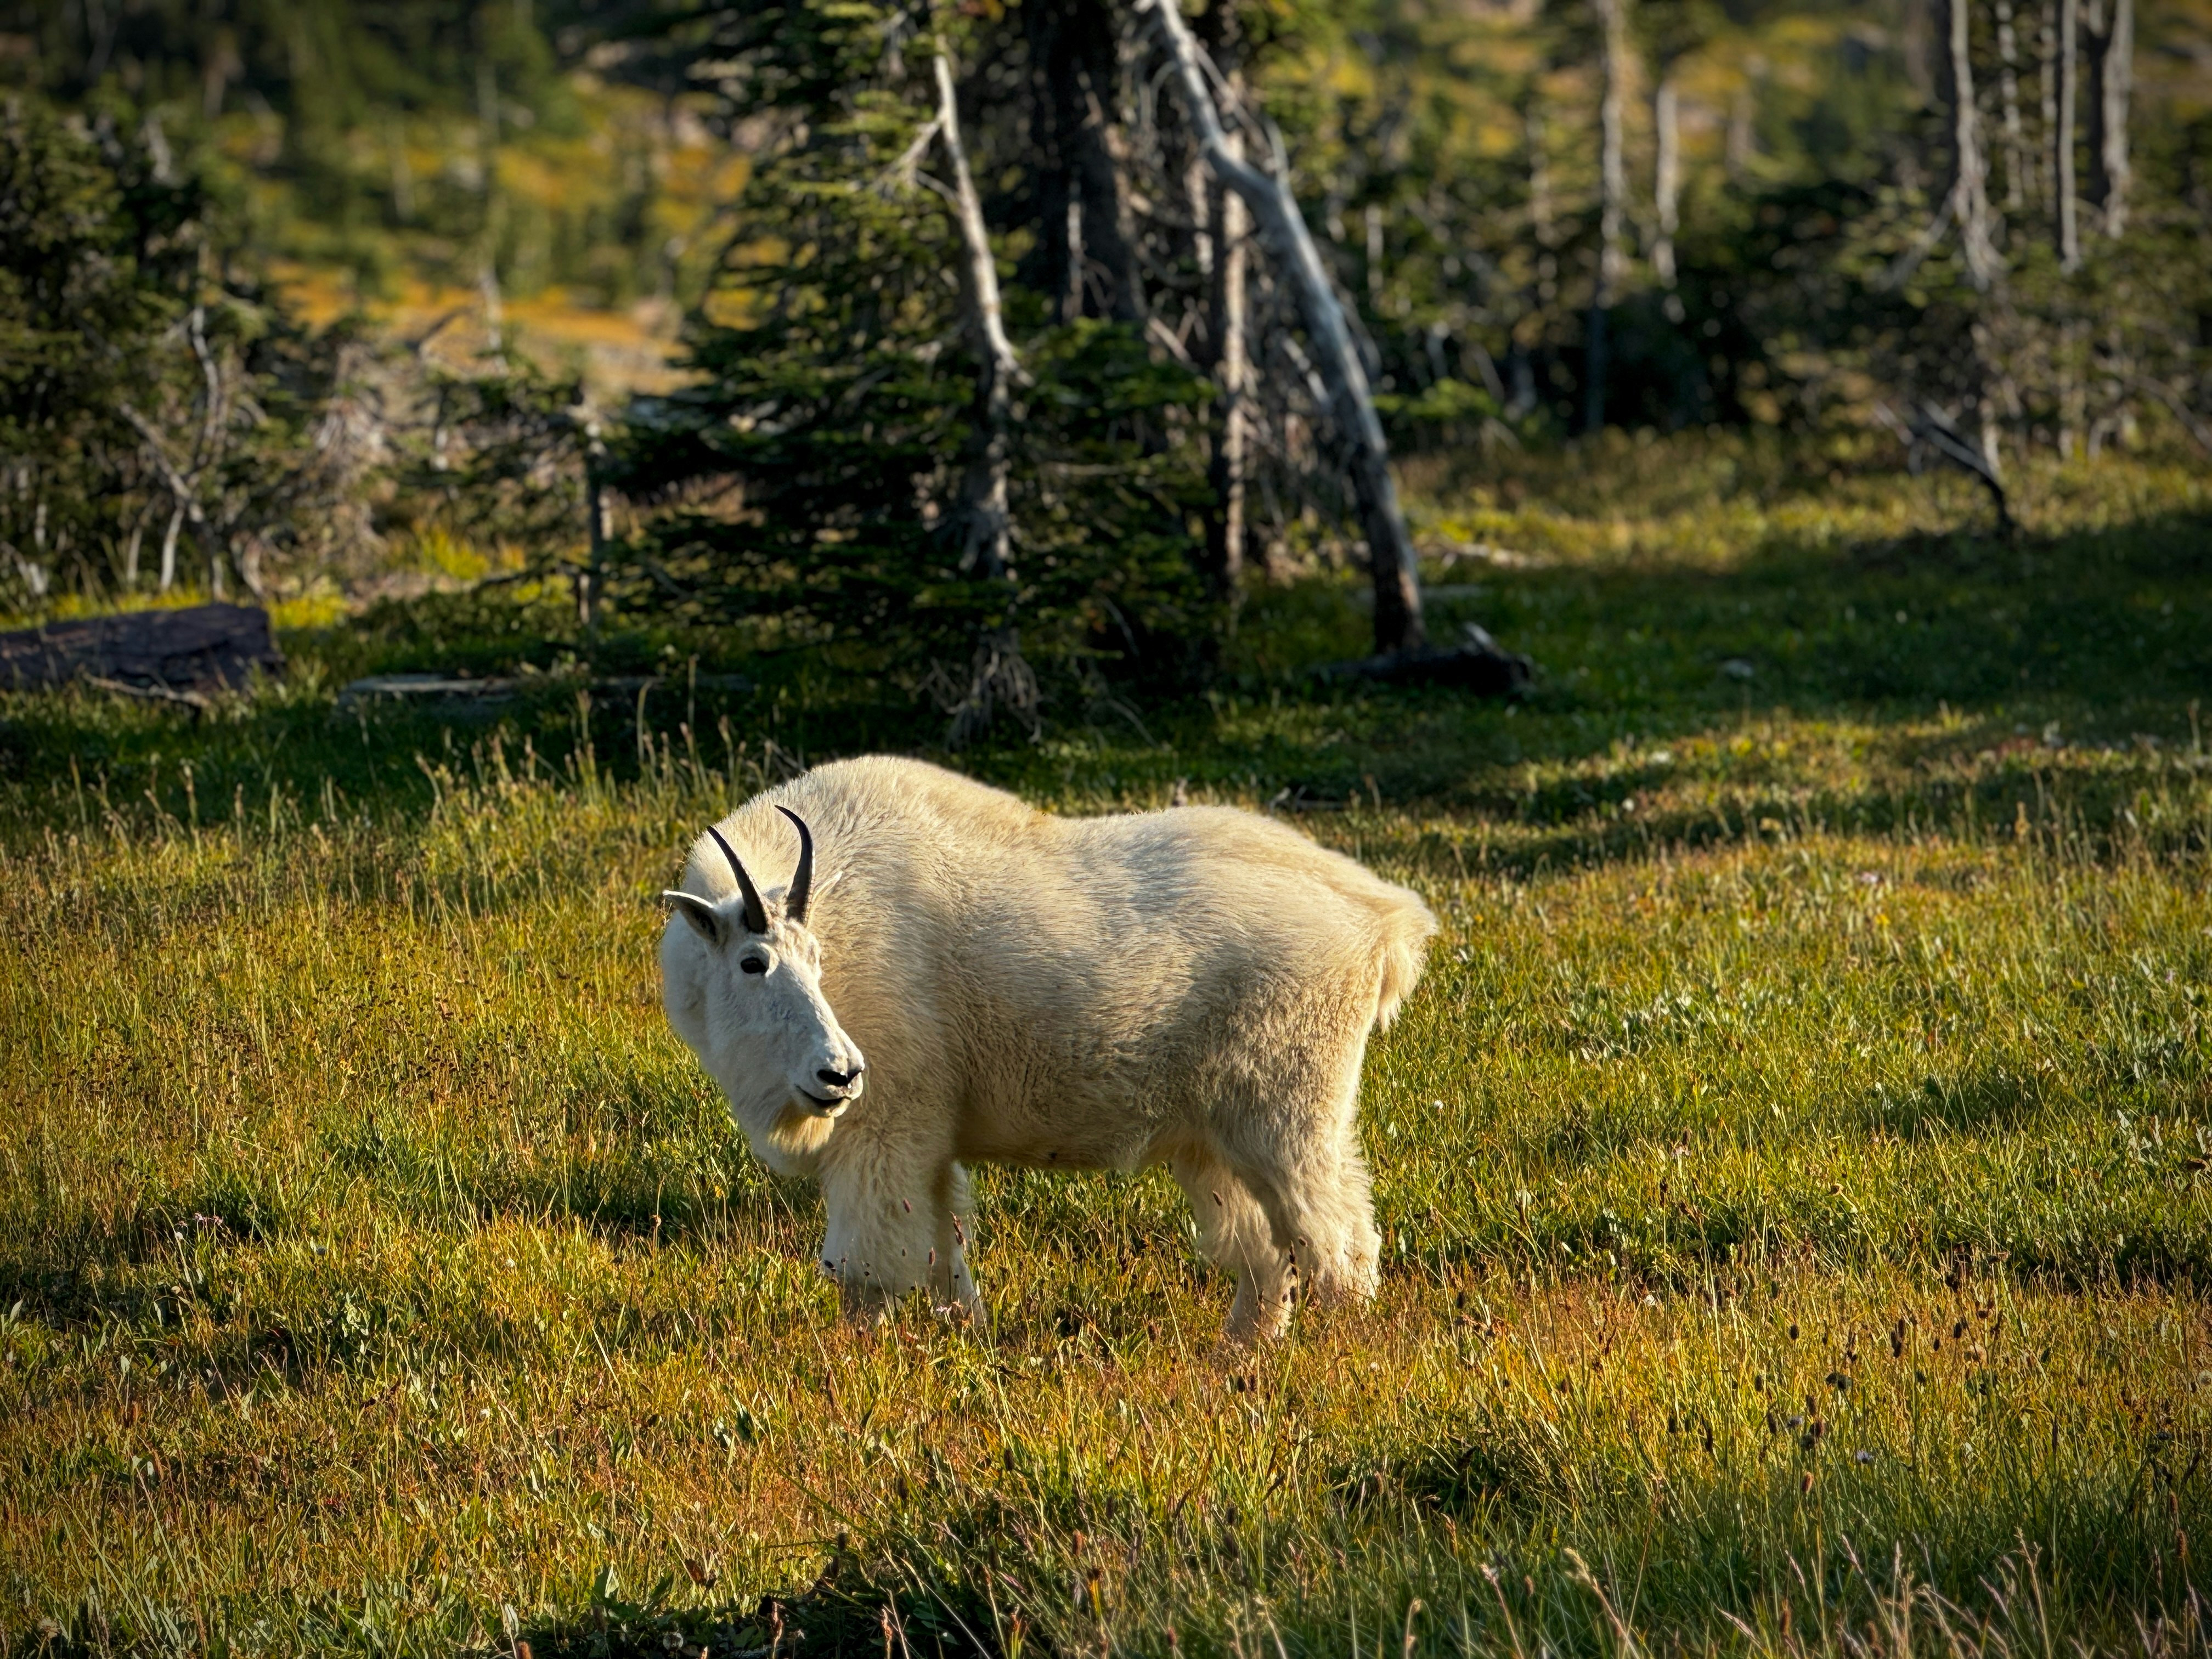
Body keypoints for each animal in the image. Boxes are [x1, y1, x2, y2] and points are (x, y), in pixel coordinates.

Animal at [658, 756, 1435, 1342]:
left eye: (816, 957)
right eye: (753, 962)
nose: (840, 1074)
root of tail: (1386, 920)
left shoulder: (884, 1130)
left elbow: (868, 1270)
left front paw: (854, 1360)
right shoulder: (929, 1142)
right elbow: (946, 1255)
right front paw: (968, 1338)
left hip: (1292, 1113)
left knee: (1339, 1245)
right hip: (1218, 1137)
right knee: (1266, 1255)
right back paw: (1237, 1356)